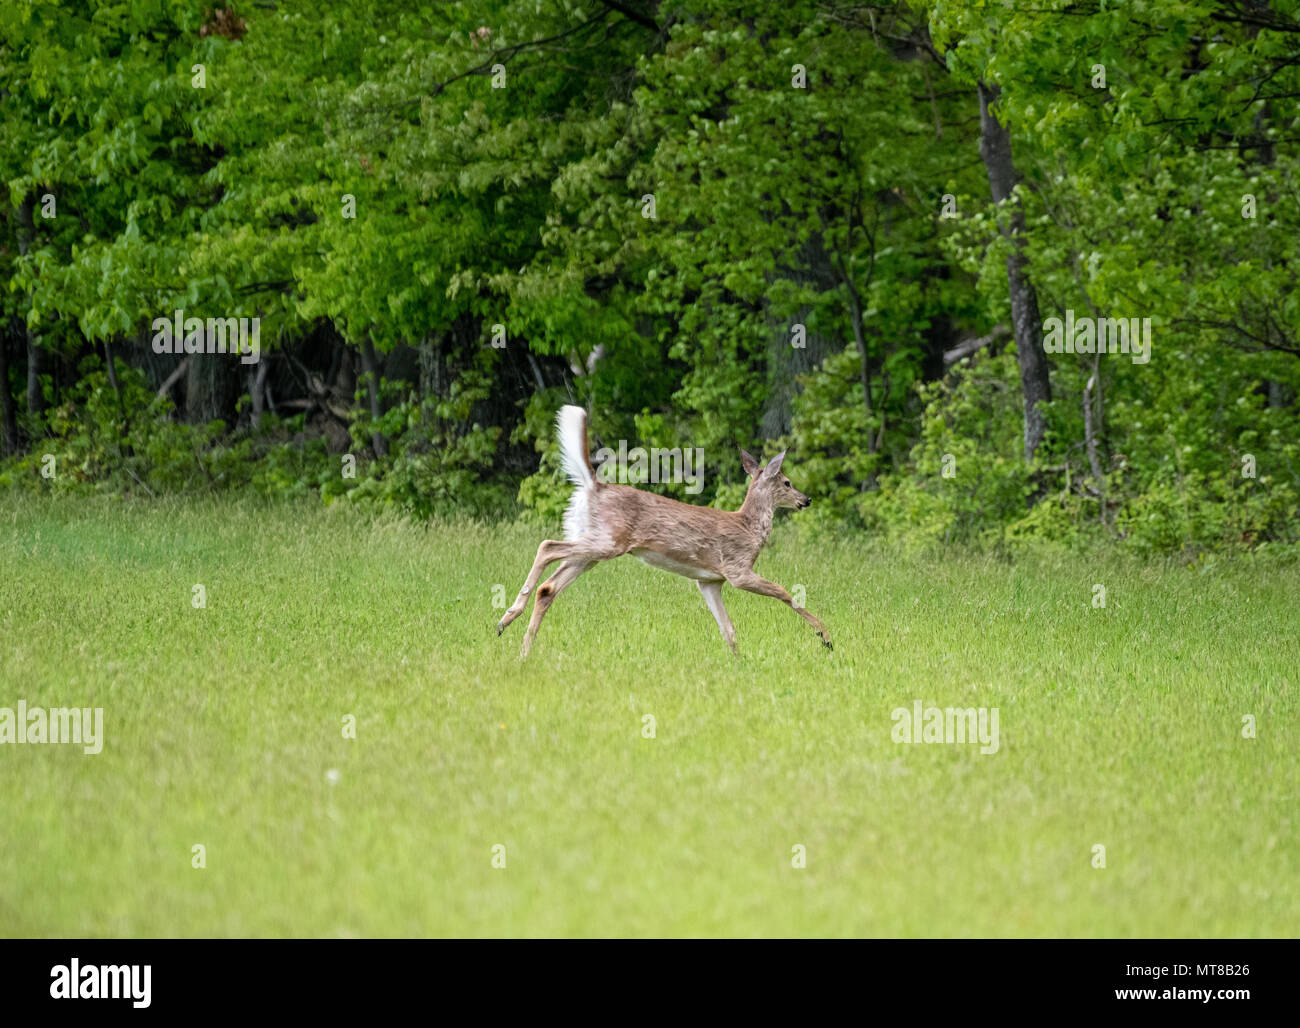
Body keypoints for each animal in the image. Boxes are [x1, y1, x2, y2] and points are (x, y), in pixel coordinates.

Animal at [497, 405, 833, 658]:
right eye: (787, 482)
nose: (806, 500)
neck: (749, 527)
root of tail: (593, 485)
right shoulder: (737, 570)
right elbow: (785, 592)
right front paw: (825, 636)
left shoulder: (709, 581)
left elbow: (729, 629)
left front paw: (740, 662)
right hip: (607, 542)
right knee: (546, 546)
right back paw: (509, 616)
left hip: (590, 547)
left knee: (548, 587)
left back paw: (517, 641)